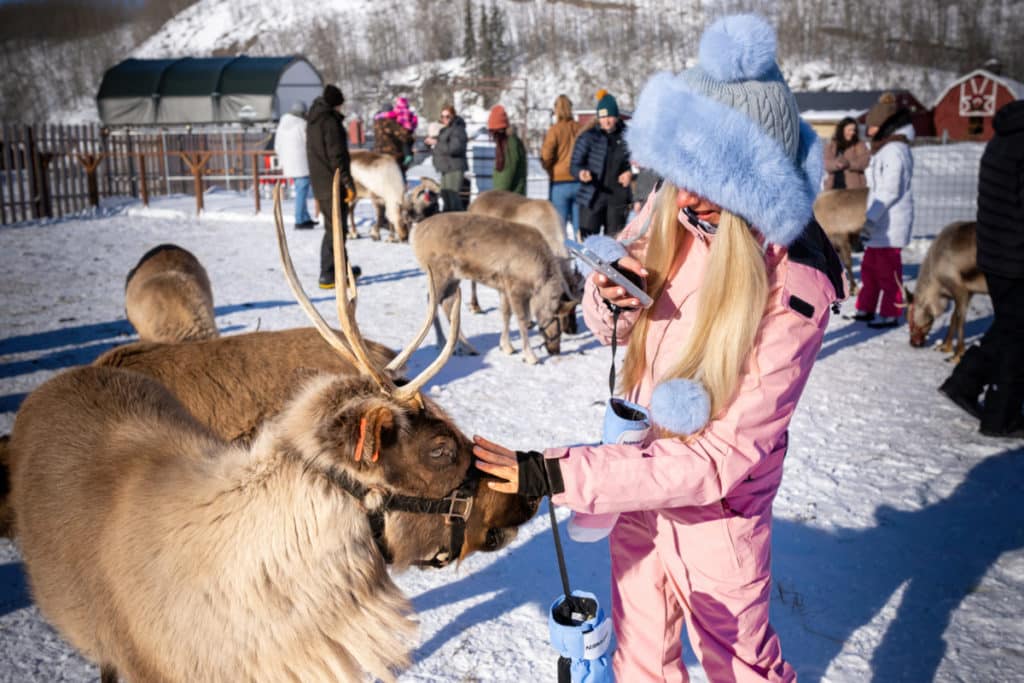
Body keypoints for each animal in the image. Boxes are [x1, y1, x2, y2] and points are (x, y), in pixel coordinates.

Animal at [411, 212, 579, 365]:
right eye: (560, 319)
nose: (555, 350)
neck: (539, 281)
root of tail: (415, 233)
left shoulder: (503, 287)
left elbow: (505, 314)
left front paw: (507, 347)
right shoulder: (515, 287)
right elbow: (522, 319)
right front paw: (531, 356)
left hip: (453, 278)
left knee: (447, 304)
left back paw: (467, 347)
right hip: (438, 273)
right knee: (432, 301)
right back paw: (441, 342)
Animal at [901, 220, 988, 361]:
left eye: (910, 318)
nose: (913, 343)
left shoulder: (960, 290)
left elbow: (960, 320)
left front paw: (957, 354)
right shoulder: (969, 292)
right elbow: (953, 317)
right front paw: (945, 346)